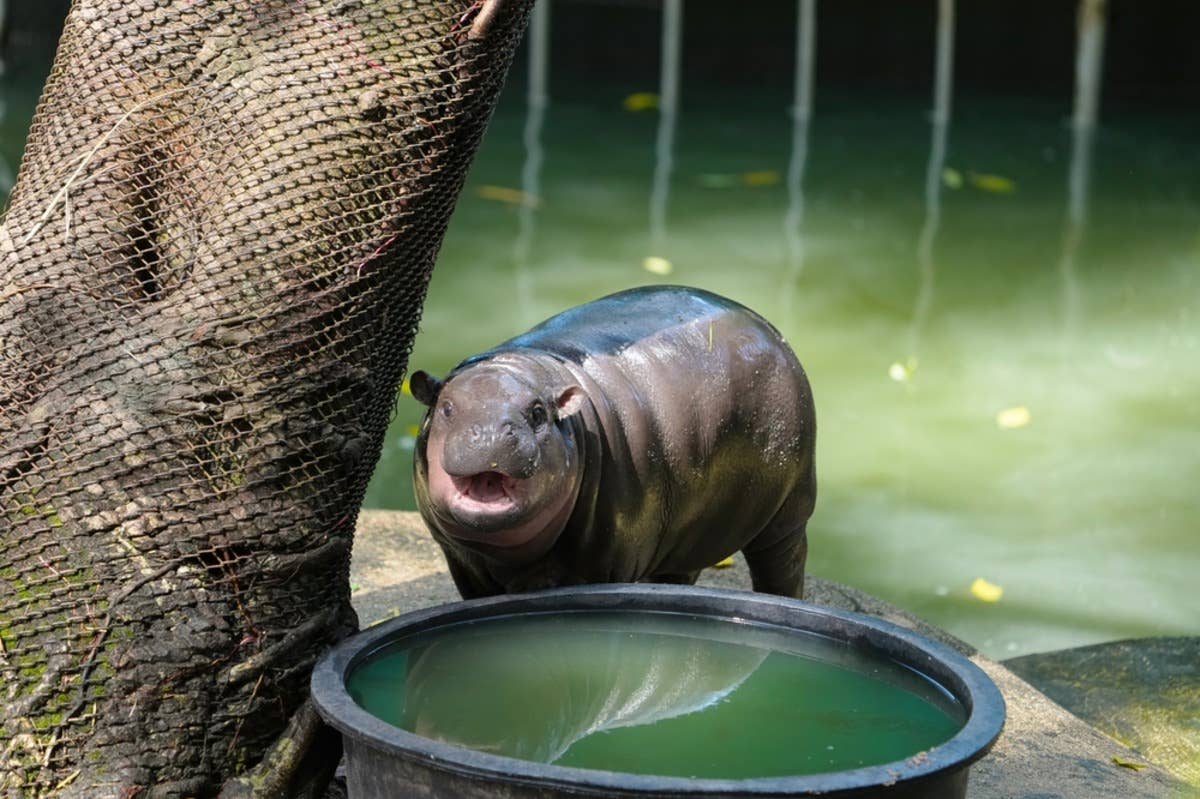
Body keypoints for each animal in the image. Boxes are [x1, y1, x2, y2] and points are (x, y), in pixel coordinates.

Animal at [410, 285, 816, 599]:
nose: (492, 430)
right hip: (690, 530)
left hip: (789, 513)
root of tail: (768, 327)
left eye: (538, 412)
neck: (514, 367)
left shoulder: (605, 559)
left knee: (782, 568)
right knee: (680, 573)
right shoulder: (461, 561)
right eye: (446, 406)